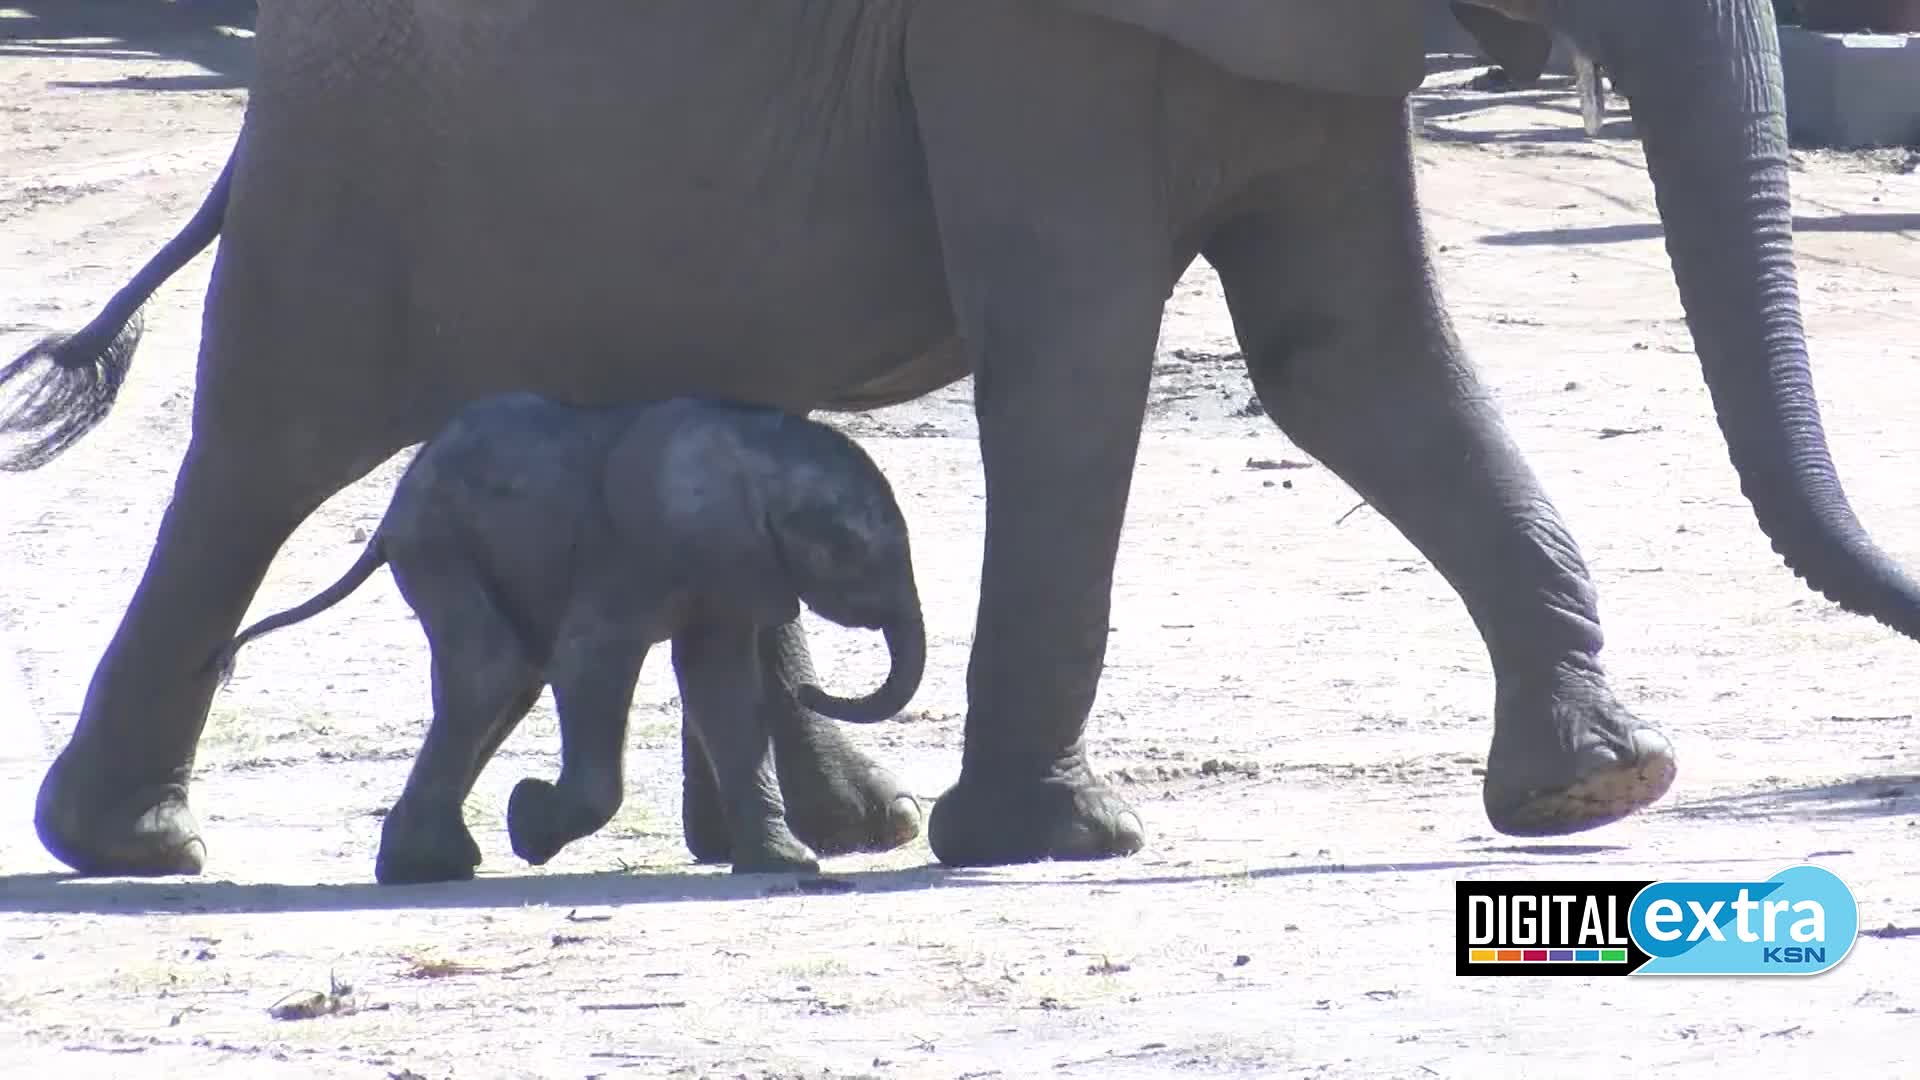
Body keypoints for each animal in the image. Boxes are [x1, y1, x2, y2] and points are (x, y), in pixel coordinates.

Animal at [211, 393, 927, 883]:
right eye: (848, 550)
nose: (813, 689)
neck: (751, 449)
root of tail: (390, 514)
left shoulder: (725, 564)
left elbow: (722, 687)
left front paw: (787, 866)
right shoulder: (635, 551)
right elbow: (589, 661)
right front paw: (528, 824)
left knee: (509, 680)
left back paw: (427, 864)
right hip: (439, 544)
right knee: (495, 669)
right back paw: (436, 863)